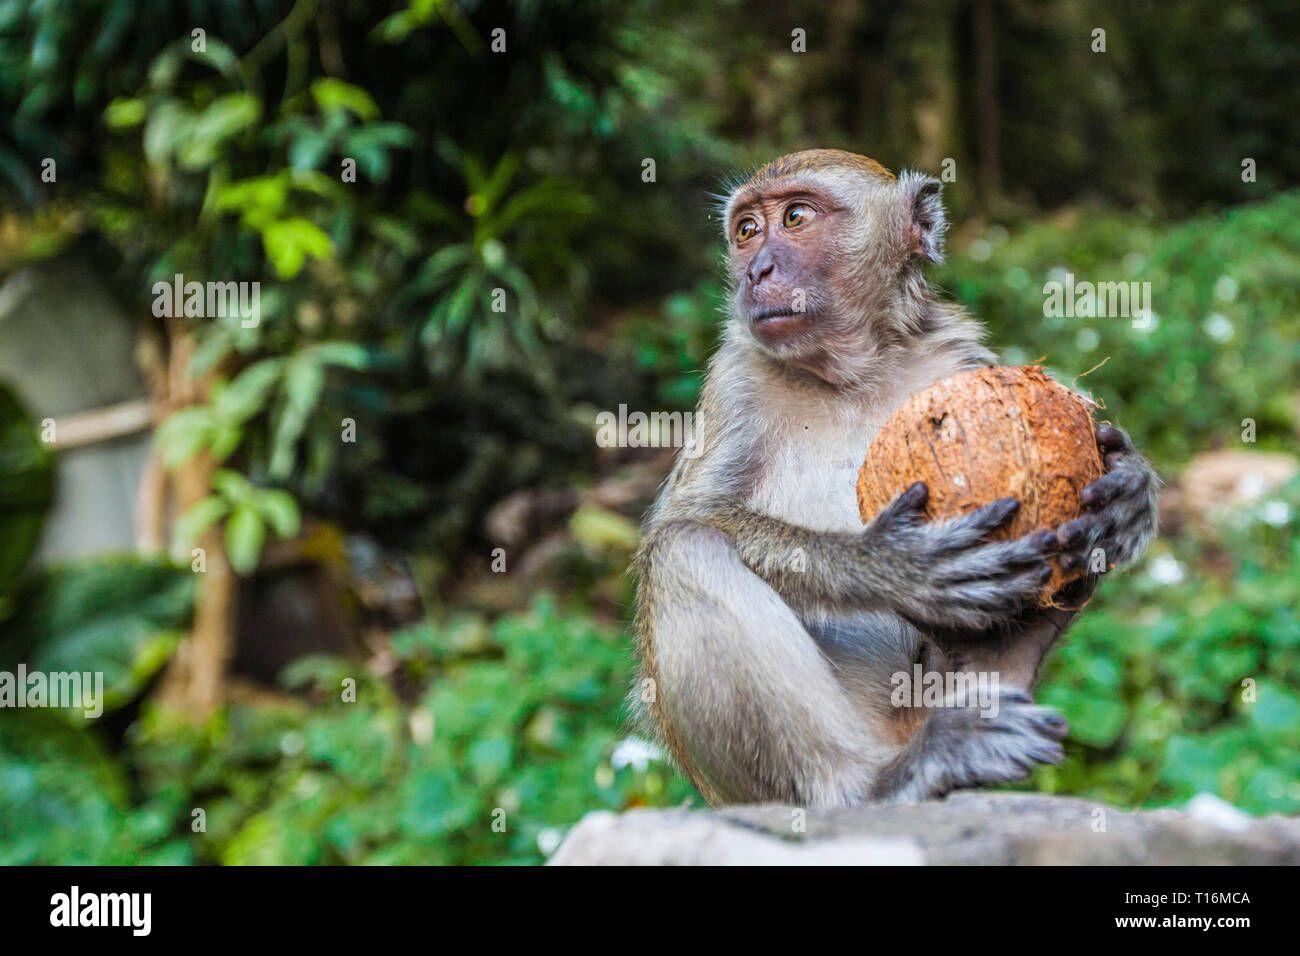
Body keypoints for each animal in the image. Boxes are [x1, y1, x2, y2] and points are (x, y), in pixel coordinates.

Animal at [632, 149, 1159, 808]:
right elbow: (690, 517)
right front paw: (891, 565)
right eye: (746, 231)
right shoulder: (735, 379)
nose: (755, 271)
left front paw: (1130, 491)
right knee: (685, 550)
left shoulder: (959, 358)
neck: (852, 371)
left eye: (796, 217)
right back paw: (886, 779)